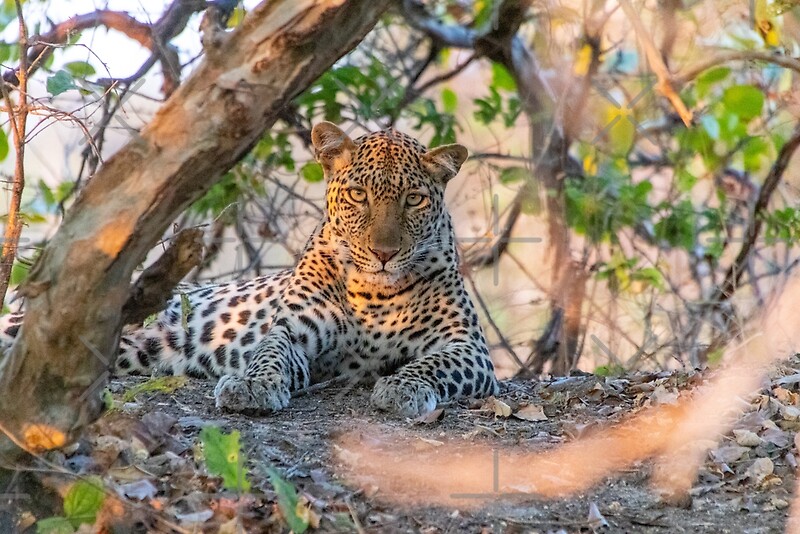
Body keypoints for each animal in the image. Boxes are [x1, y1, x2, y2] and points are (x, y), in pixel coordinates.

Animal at [0, 122, 500, 417]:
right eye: (359, 195)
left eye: (413, 200)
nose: (383, 253)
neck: (372, 294)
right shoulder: (293, 330)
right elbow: (269, 353)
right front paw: (251, 386)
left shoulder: (468, 346)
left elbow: (432, 363)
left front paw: (401, 388)